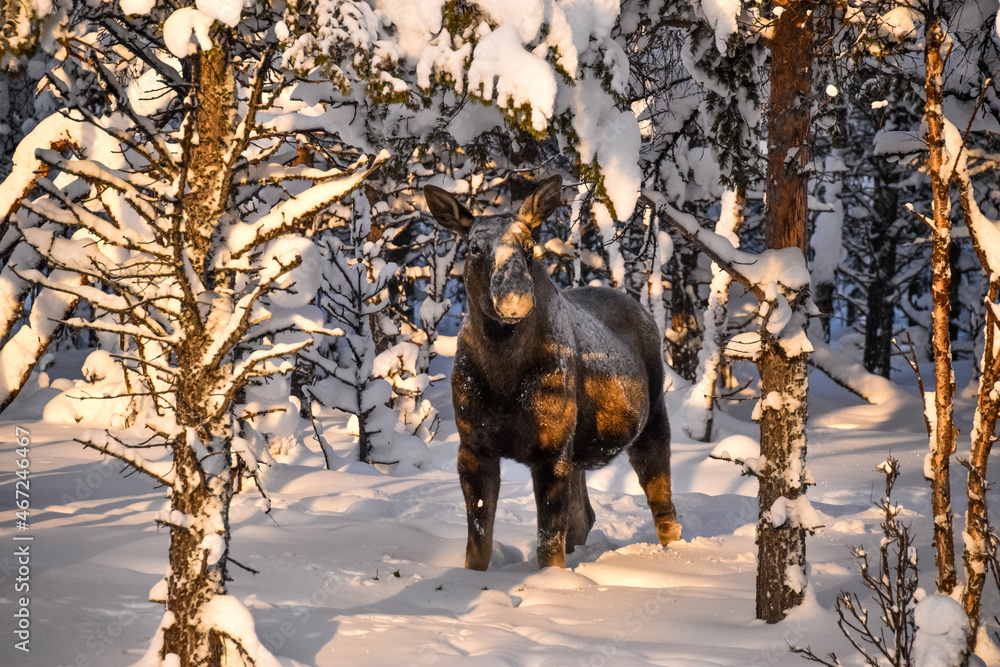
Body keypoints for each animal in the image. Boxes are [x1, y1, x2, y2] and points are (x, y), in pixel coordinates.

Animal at [424, 175, 681, 570]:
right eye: (475, 248)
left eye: (530, 247)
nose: (514, 299)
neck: (503, 374)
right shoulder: (475, 446)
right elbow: (478, 548)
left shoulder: (551, 448)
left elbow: (548, 546)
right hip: (577, 452)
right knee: (584, 518)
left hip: (651, 420)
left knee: (663, 508)